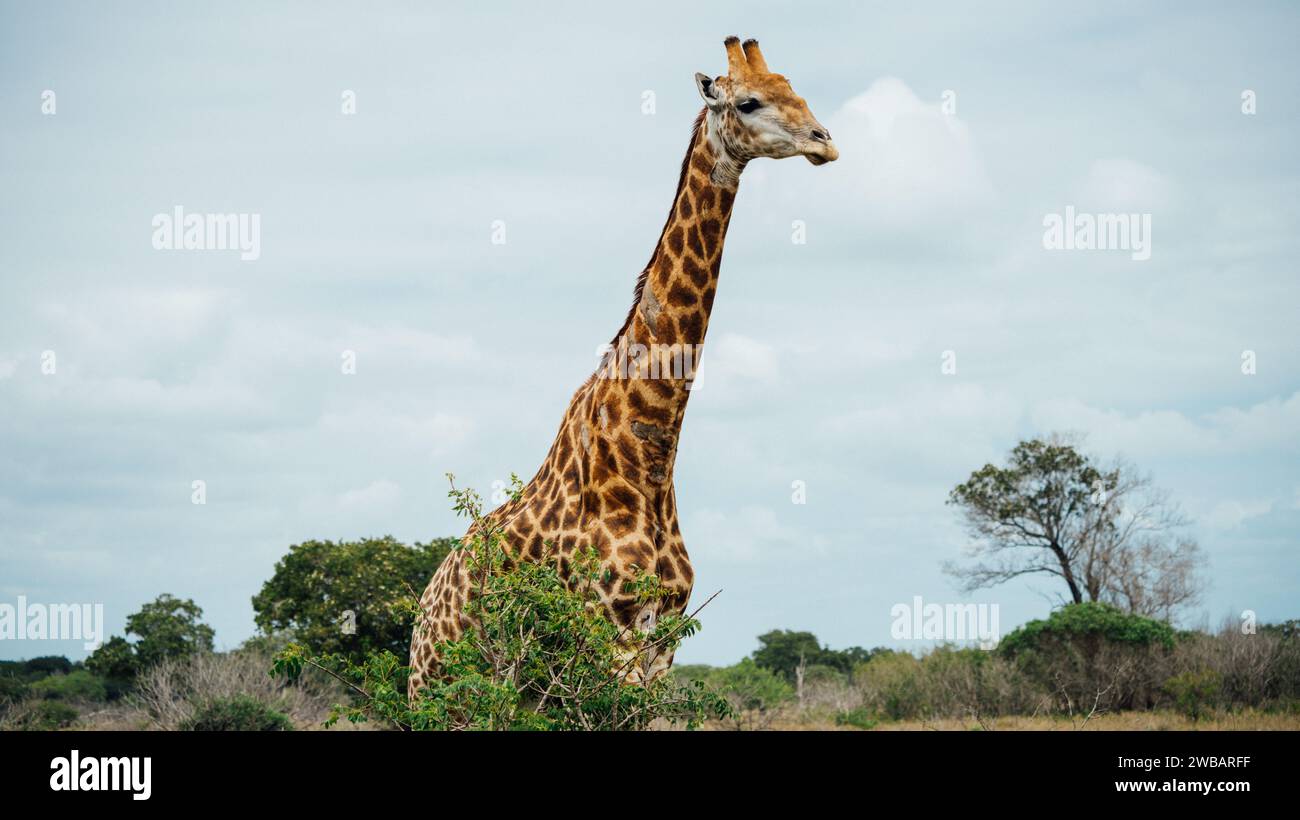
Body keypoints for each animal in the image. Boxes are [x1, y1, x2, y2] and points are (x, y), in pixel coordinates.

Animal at [408, 36, 838, 699]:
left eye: (797, 90)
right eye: (748, 101)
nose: (825, 141)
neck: (654, 450)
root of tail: (419, 622)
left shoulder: (664, 639)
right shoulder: (607, 629)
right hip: (445, 691)